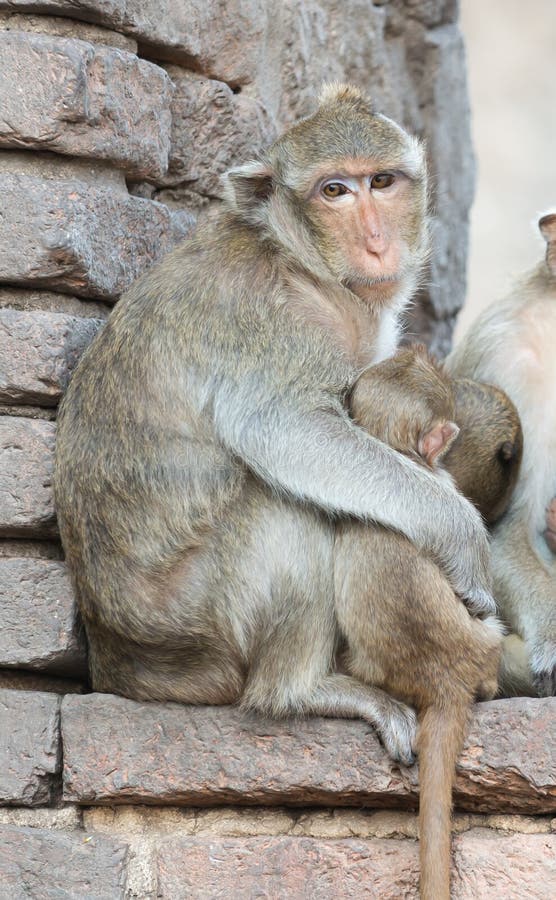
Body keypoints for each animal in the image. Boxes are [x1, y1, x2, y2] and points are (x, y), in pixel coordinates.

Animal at [54, 84, 494, 768]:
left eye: (382, 181)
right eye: (334, 191)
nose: (377, 242)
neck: (304, 264)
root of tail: (118, 663)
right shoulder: (271, 326)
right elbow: (286, 428)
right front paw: (461, 536)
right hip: (190, 622)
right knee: (284, 505)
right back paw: (303, 691)